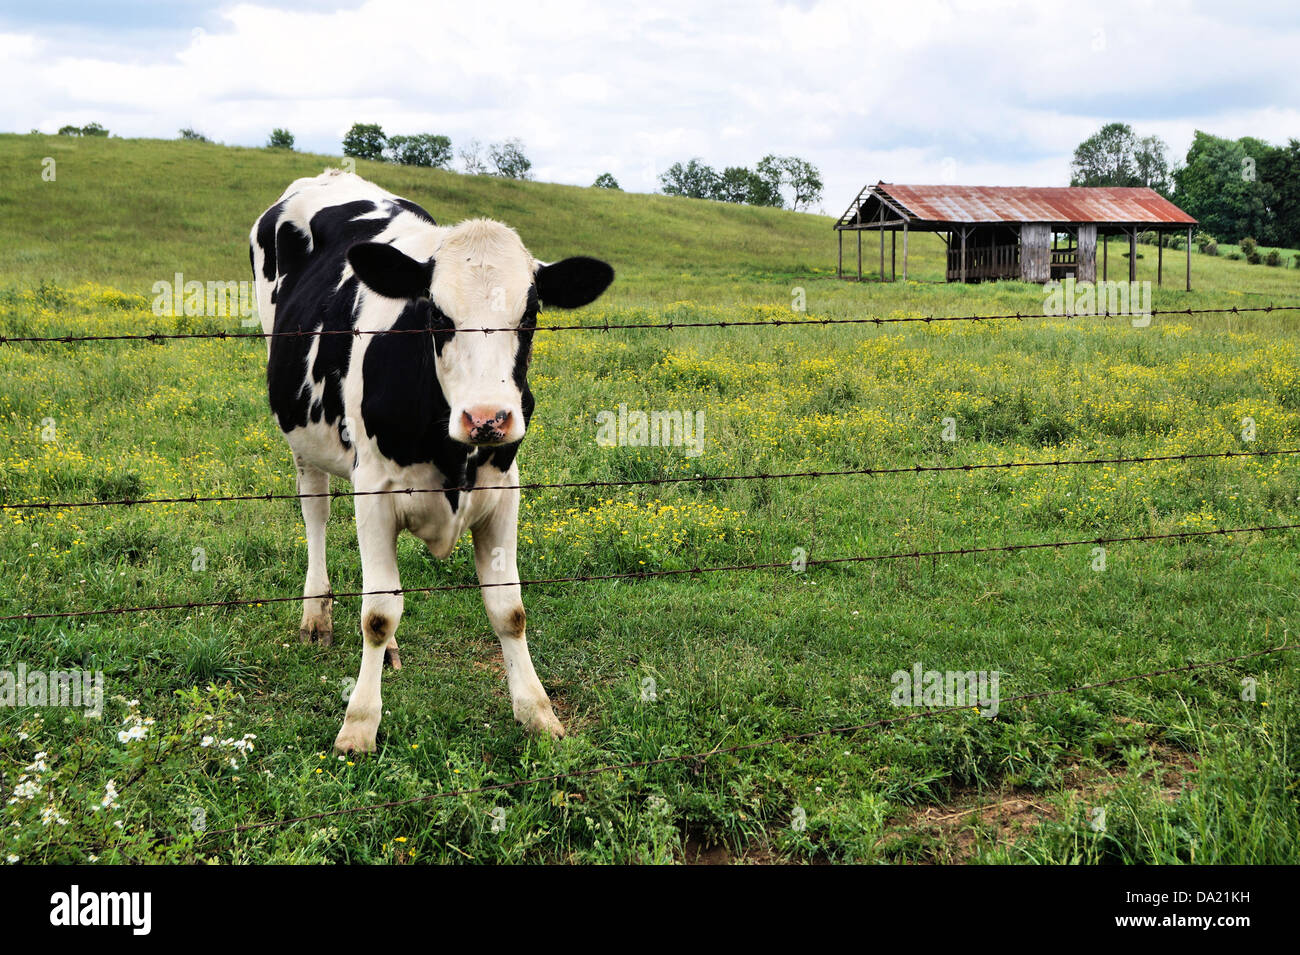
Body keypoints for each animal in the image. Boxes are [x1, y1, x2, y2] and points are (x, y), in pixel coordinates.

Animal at [249, 170, 613, 753]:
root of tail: (333, 175)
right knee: (316, 512)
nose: (488, 417)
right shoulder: (373, 489)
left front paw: (537, 711)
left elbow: (509, 610)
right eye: (438, 314)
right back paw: (315, 615)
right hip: (301, 434)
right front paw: (359, 725)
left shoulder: (503, 490)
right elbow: (377, 613)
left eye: (530, 314)